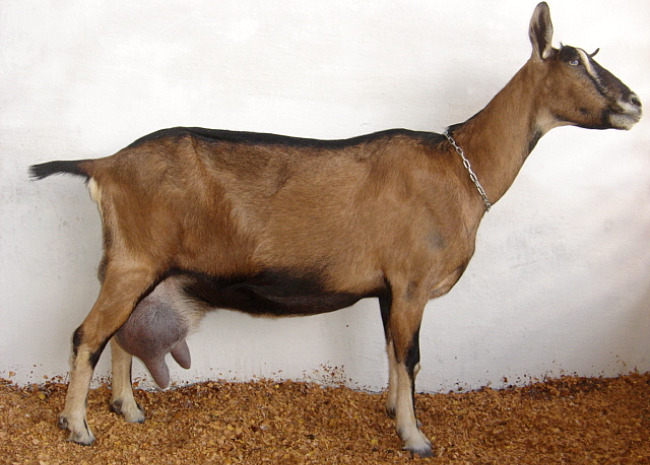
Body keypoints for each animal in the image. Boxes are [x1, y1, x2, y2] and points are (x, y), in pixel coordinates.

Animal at [29, 2, 641, 457]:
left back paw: (128, 410)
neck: (459, 168)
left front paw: (394, 413)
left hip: (137, 265)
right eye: (575, 60)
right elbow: (412, 356)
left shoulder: (390, 288)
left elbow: (394, 353)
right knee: (87, 334)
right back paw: (78, 427)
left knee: (119, 335)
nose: (634, 103)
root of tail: (104, 165)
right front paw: (416, 437)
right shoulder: (412, 281)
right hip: (134, 261)